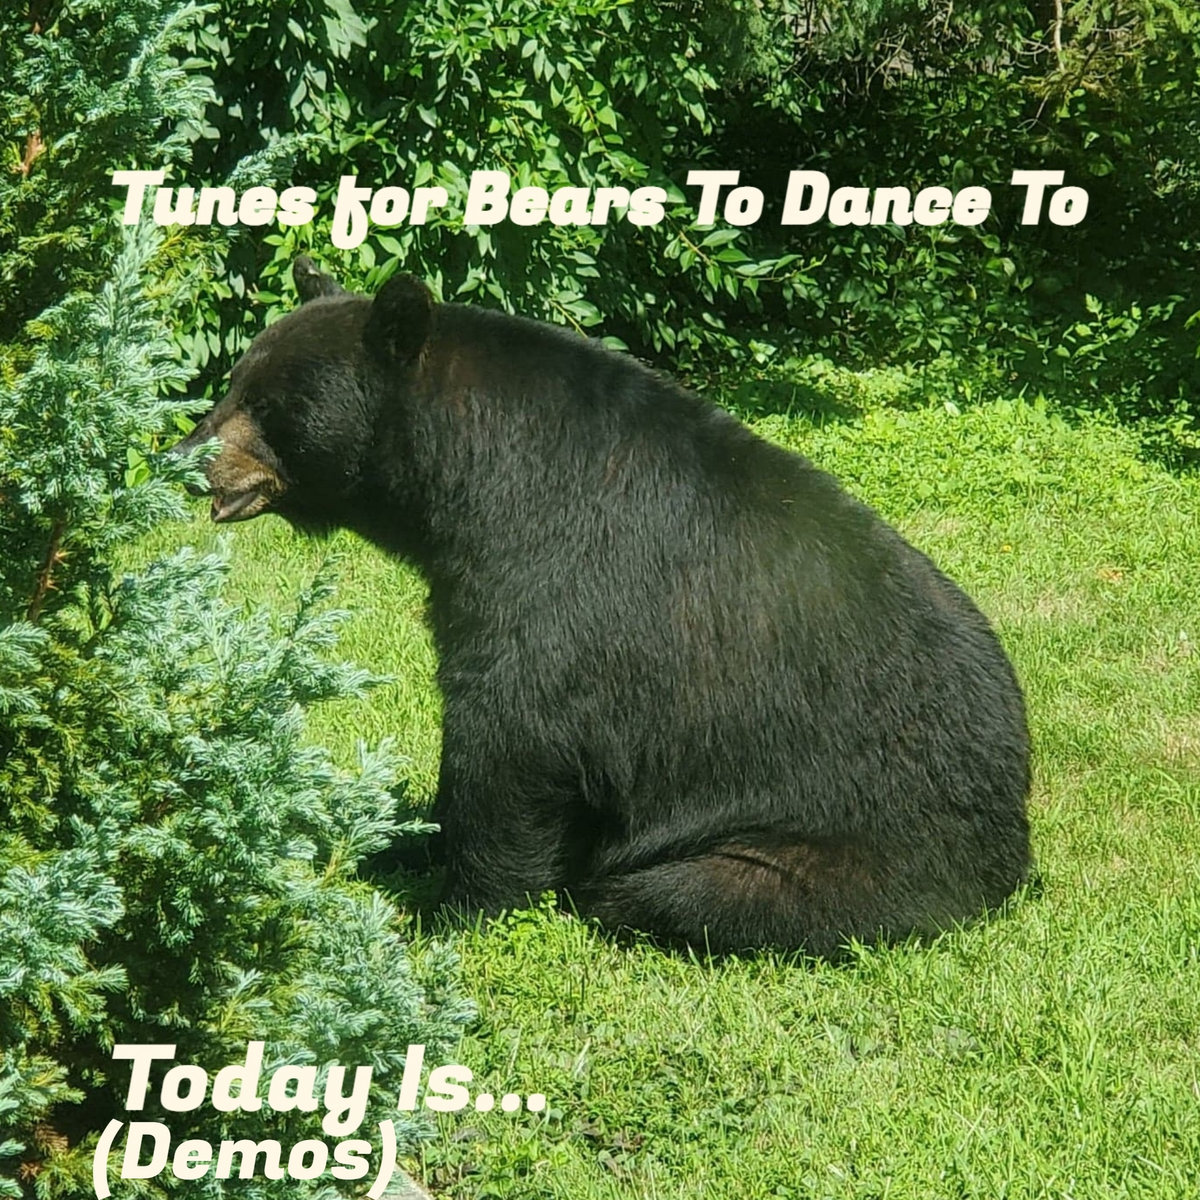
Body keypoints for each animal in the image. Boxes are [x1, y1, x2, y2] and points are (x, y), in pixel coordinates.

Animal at [175, 255, 1032, 957]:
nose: (184, 457)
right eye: (234, 383)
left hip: (841, 844)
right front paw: (402, 838)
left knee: (691, 891)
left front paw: (450, 914)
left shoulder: (553, 585)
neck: (466, 479)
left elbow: (510, 736)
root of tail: (1012, 843)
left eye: (268, 403)